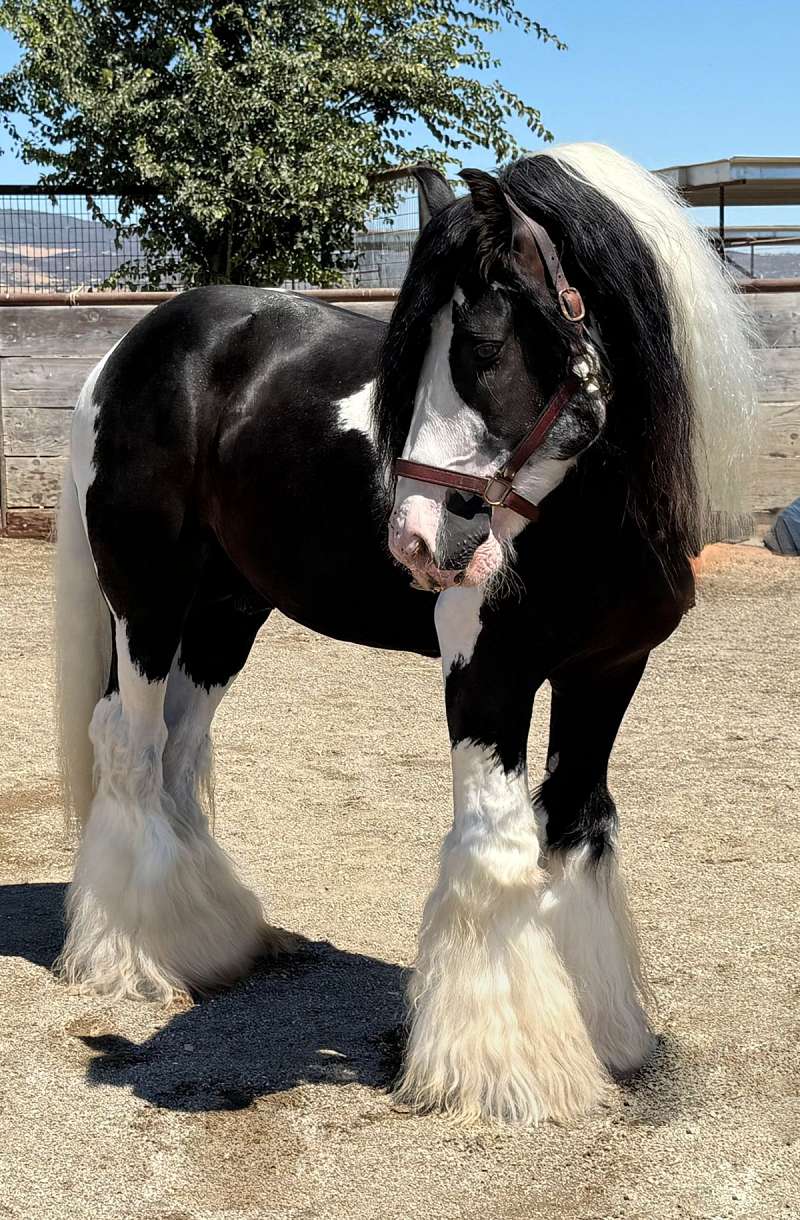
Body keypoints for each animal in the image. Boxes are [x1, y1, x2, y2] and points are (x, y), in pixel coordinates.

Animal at [53, 143, 755, 1126]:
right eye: (402, 356)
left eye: (483, 344)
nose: (418, 541)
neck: (589, 517)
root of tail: (129, 352)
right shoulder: (488, 676)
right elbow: (498, 851)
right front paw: (505, 1072)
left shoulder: (609, 671)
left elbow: (577, 830)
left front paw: (604, 1038)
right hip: (148, 604)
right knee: (130, 744)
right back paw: (133, 958)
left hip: (226, 614)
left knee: (179, 755)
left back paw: (210, 940)